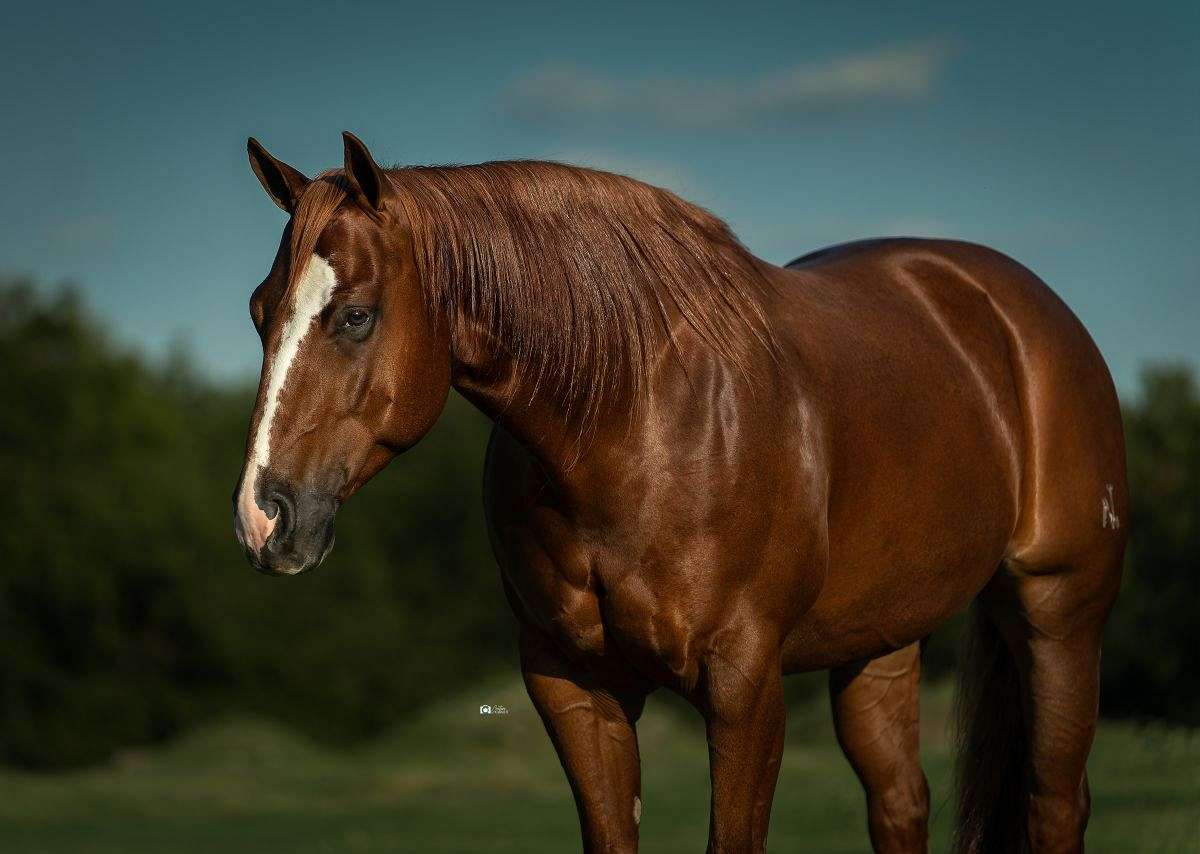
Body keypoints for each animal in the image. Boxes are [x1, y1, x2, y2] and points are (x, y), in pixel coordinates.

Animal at [233, 132, 1126, 854]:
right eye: (258, 311)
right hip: (881, 641)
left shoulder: (744, 687)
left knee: (1055, 805)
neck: (634, 418)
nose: (262, 517)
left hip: (1058, 611)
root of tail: (1016, 312)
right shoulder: (573, 687)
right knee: (902, 806)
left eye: (354, 315)